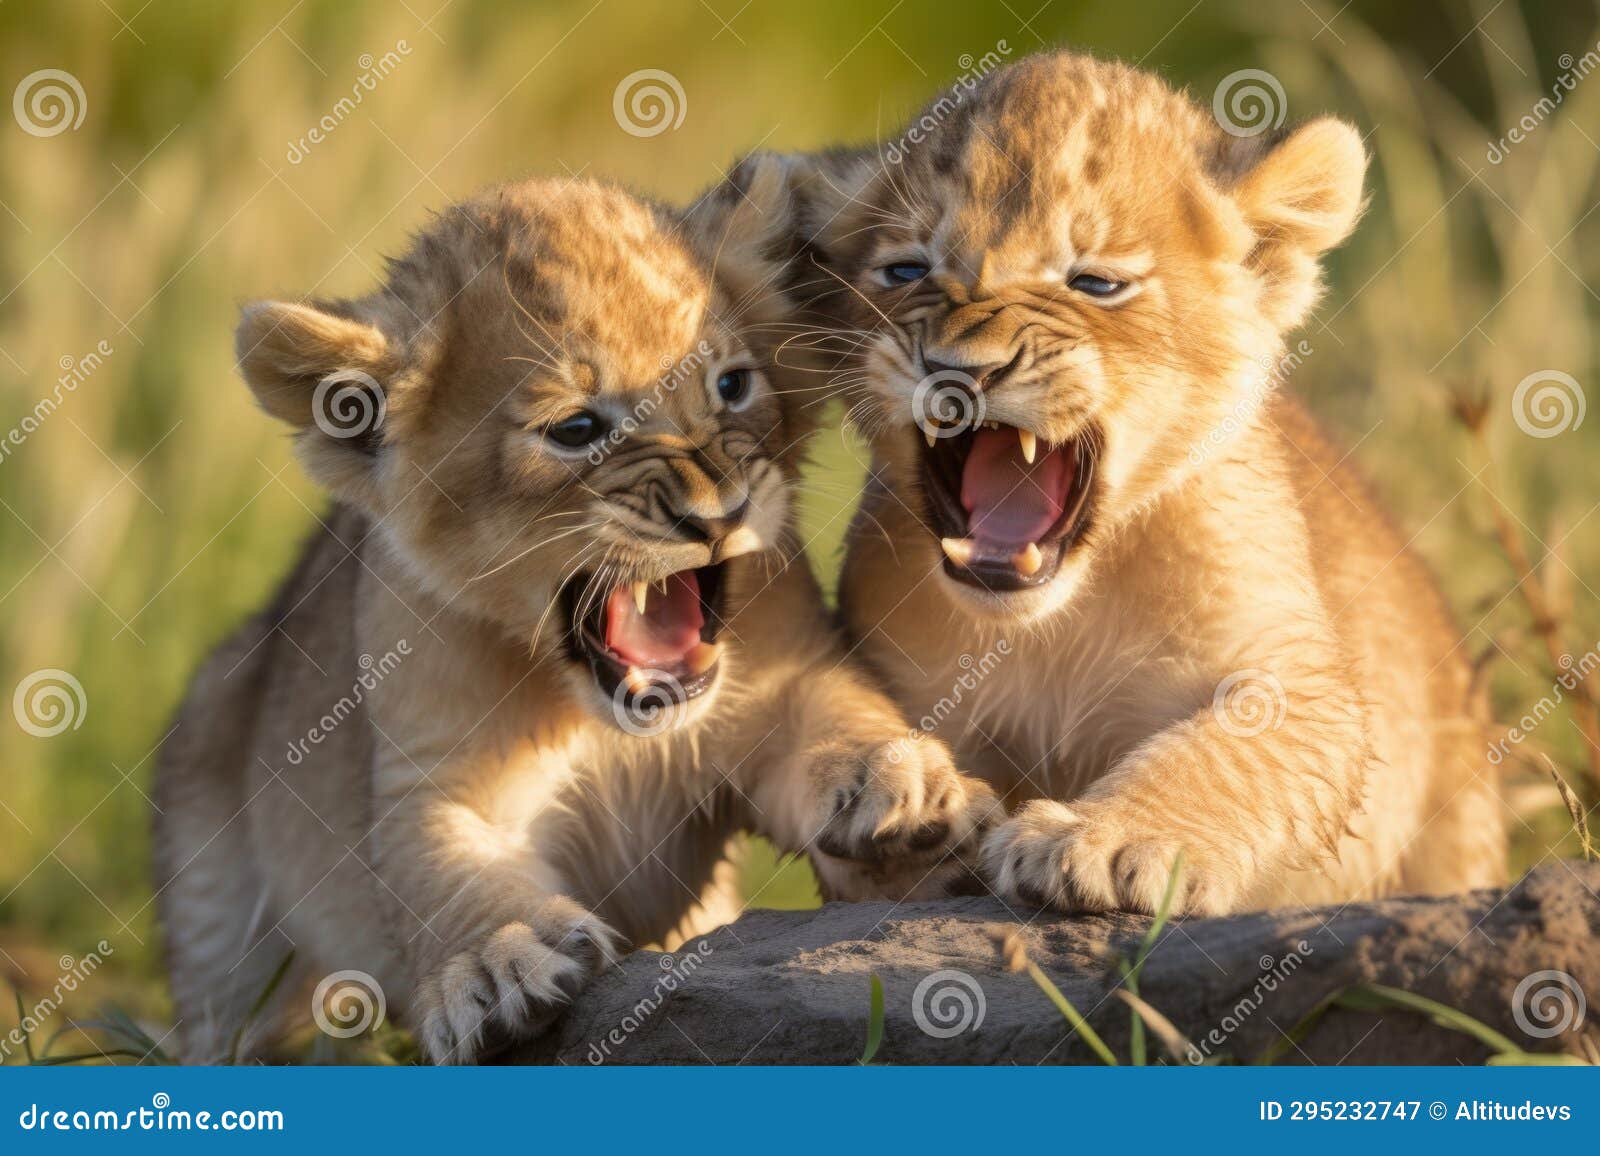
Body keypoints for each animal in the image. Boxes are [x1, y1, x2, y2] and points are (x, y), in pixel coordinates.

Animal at [152, 165, 996, 1065]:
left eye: (732, 385)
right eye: (577, 428)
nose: (719, 514)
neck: (603, 724)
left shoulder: (783, 678)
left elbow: (843, 713)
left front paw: (904, 789)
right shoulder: (431, 778)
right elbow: (446, 874)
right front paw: (497, 963)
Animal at [773, 50, 1503, 916]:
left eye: (1095, 284)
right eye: (907, 269)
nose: (960, 368)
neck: (1052, 625)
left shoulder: (1298, 675)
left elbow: (1226, 755)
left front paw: (1101, 841)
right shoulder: (897, 671)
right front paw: (899, 801)